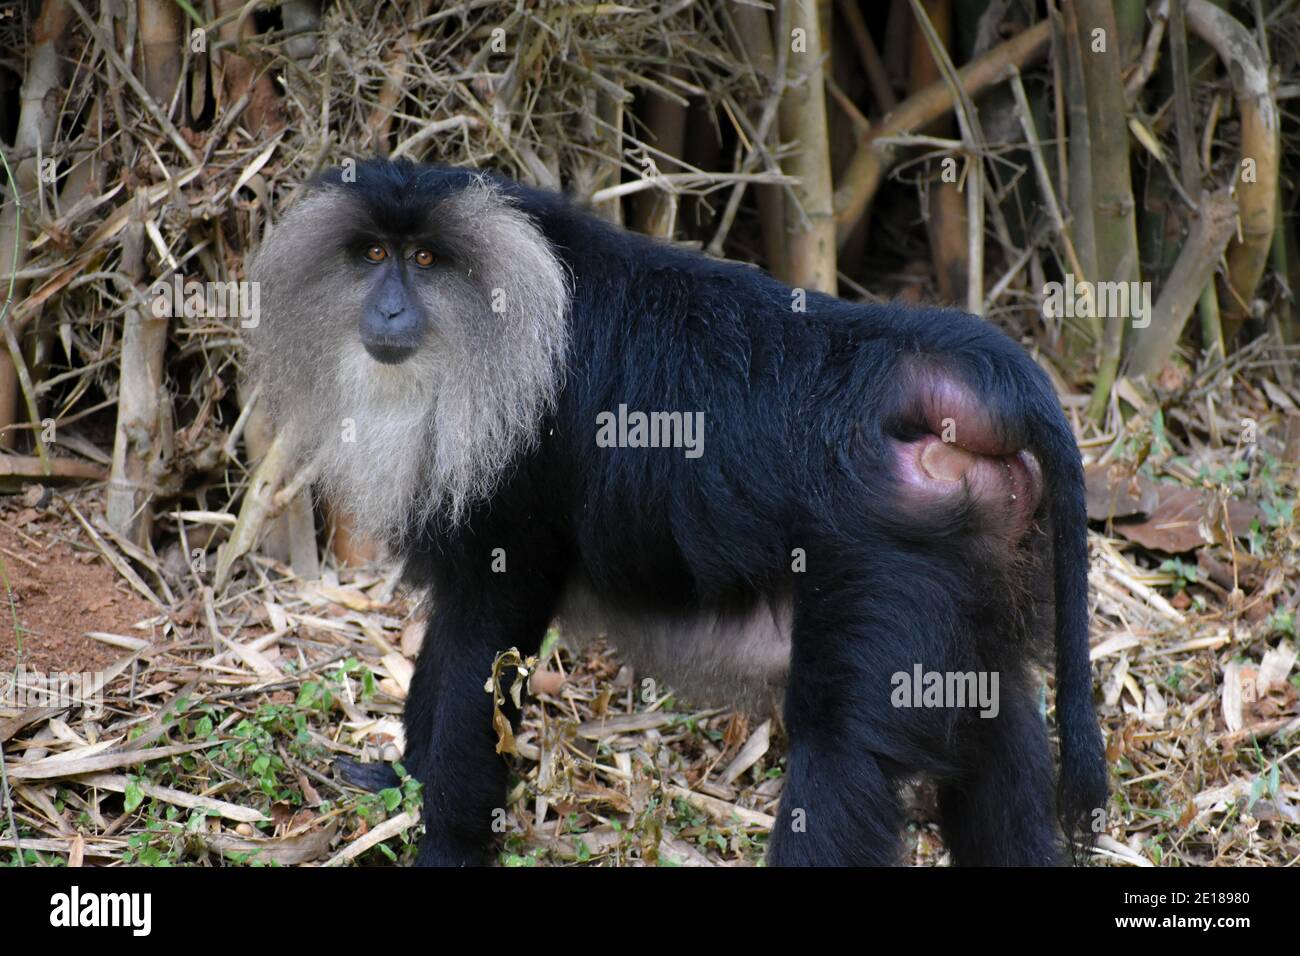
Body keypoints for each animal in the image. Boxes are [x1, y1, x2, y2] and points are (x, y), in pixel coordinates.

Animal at [244, 158, 1107, 867]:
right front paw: (399, 777)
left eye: (425, 260)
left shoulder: (516, 514)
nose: (388, 312)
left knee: (841, 754)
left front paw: (446, 844)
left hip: (885, 554)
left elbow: (482, 652)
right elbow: (451, 642)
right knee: (999, 728)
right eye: (373, 255)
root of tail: (910, 361)